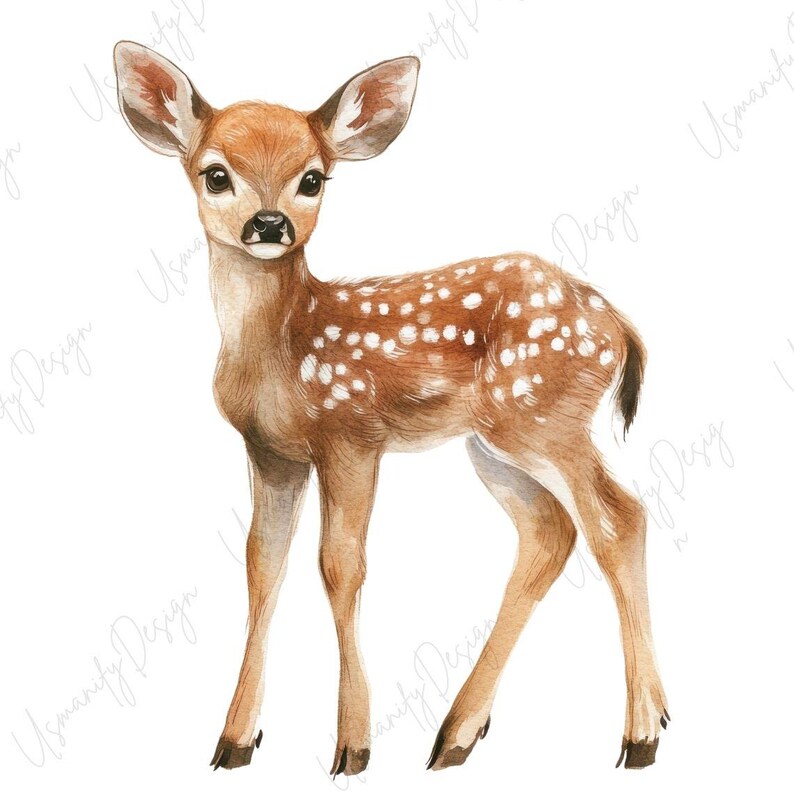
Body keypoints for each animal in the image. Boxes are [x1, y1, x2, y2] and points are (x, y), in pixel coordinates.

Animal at [113, 40, 670, 775]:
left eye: (313, 178)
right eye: (215, 174)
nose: (269, 224)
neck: (285, 346)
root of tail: (619, 325)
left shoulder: (352, 433)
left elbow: (340, 567)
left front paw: (352, 745)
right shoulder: (270, 451)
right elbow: (263, 566)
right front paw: (234, 741)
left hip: (542, 415)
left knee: (619, 517)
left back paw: (641, 734)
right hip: (493, 445)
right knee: (550, 531)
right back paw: (458, 734)